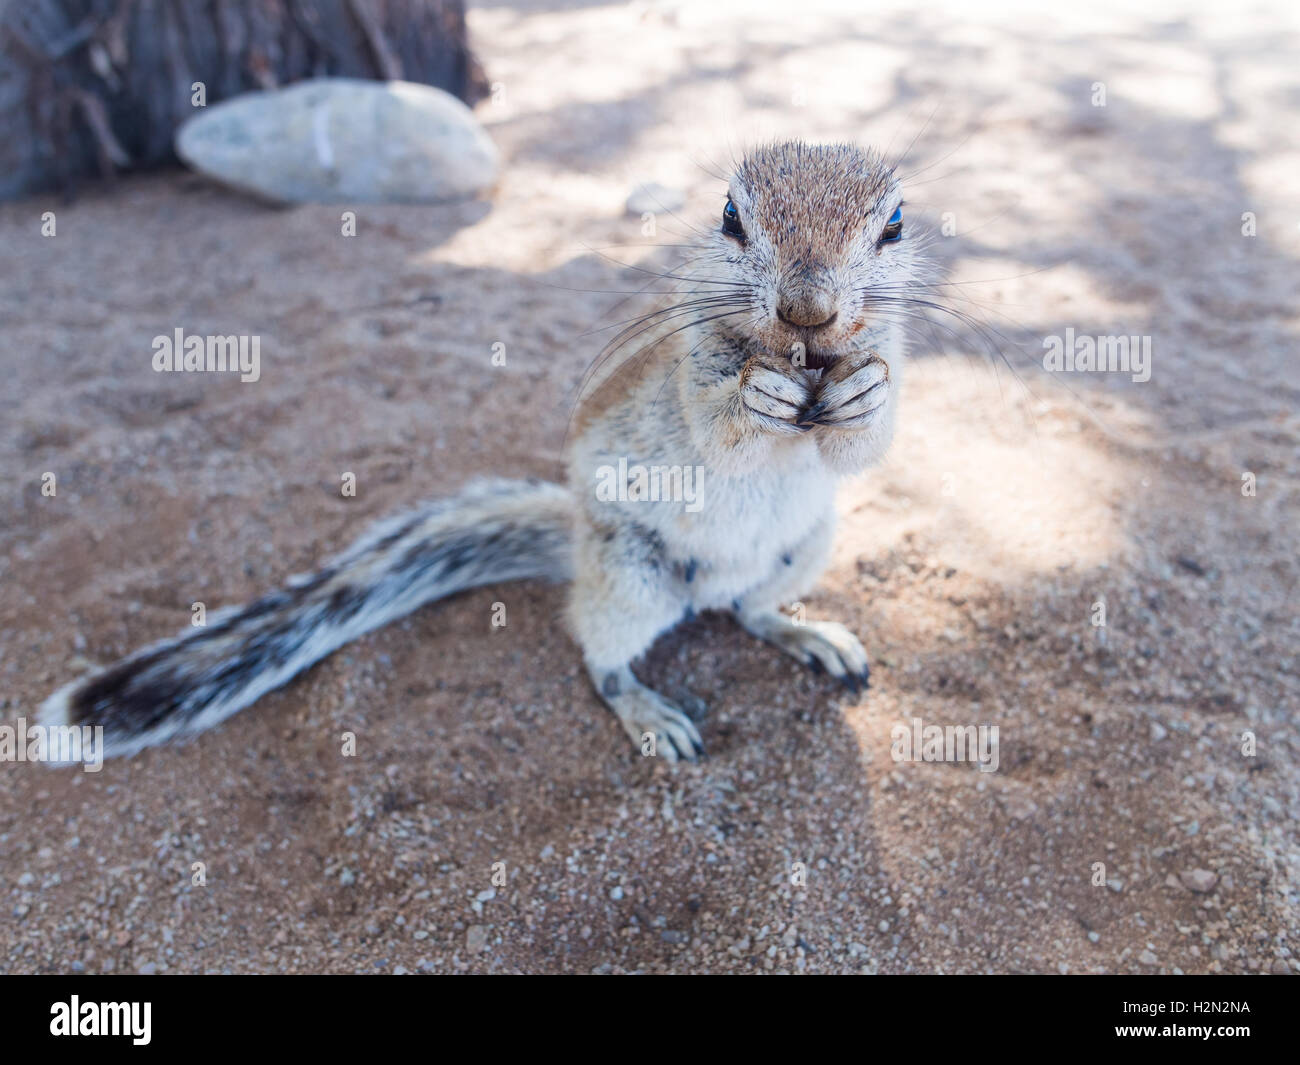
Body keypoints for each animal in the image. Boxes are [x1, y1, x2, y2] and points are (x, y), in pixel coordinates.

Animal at [42, 140, 930, 764]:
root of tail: (576, 539)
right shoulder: (689, 369)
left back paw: (807, 633)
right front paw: (755, 397)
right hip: (630, 580)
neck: (802, 362)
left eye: (893, 223)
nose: (807, 308)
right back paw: (647, 711)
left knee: (747, 608)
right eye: (729, 217)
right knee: (602, 658)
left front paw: (866, 393)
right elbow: (718, 426)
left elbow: (866, 442)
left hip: (802, 546)